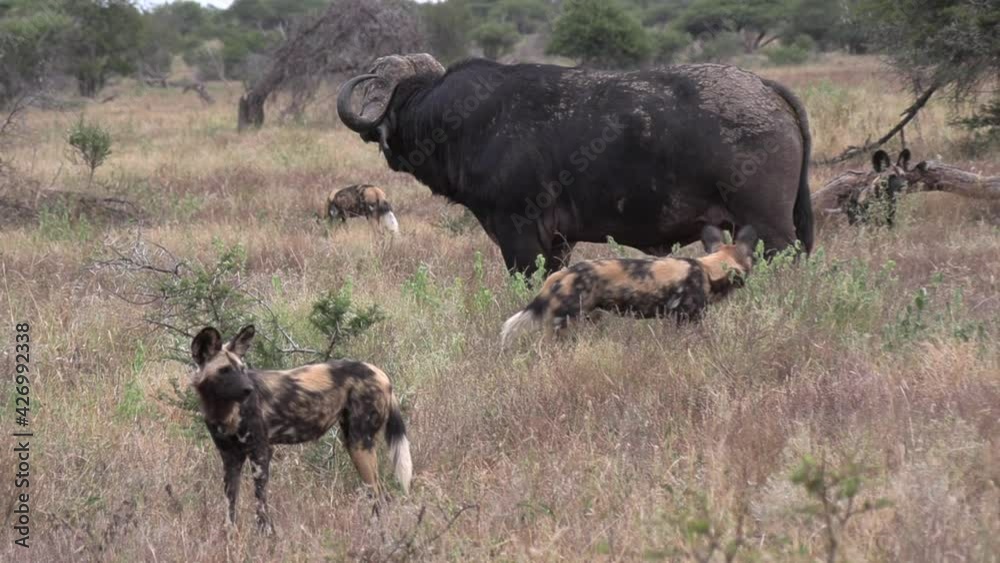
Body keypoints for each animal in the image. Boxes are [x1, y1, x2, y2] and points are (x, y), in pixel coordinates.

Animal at [189, 325, 412, 534]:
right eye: (224, 370)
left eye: (242, 369)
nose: (249, 389)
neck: (223, 409)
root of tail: (380, 373)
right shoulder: (230, 457)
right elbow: (230, 504)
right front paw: (229, 534)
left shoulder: (260, 451)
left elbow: (260, 502)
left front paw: (265, 534)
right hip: (352, 442)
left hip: (359, 445)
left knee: (379, 495)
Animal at [337, 54, 813, 274]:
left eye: (385, 91)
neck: (460, 123)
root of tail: (764, 88)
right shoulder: (559, 242)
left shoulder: (518, 233)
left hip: (769, 226)